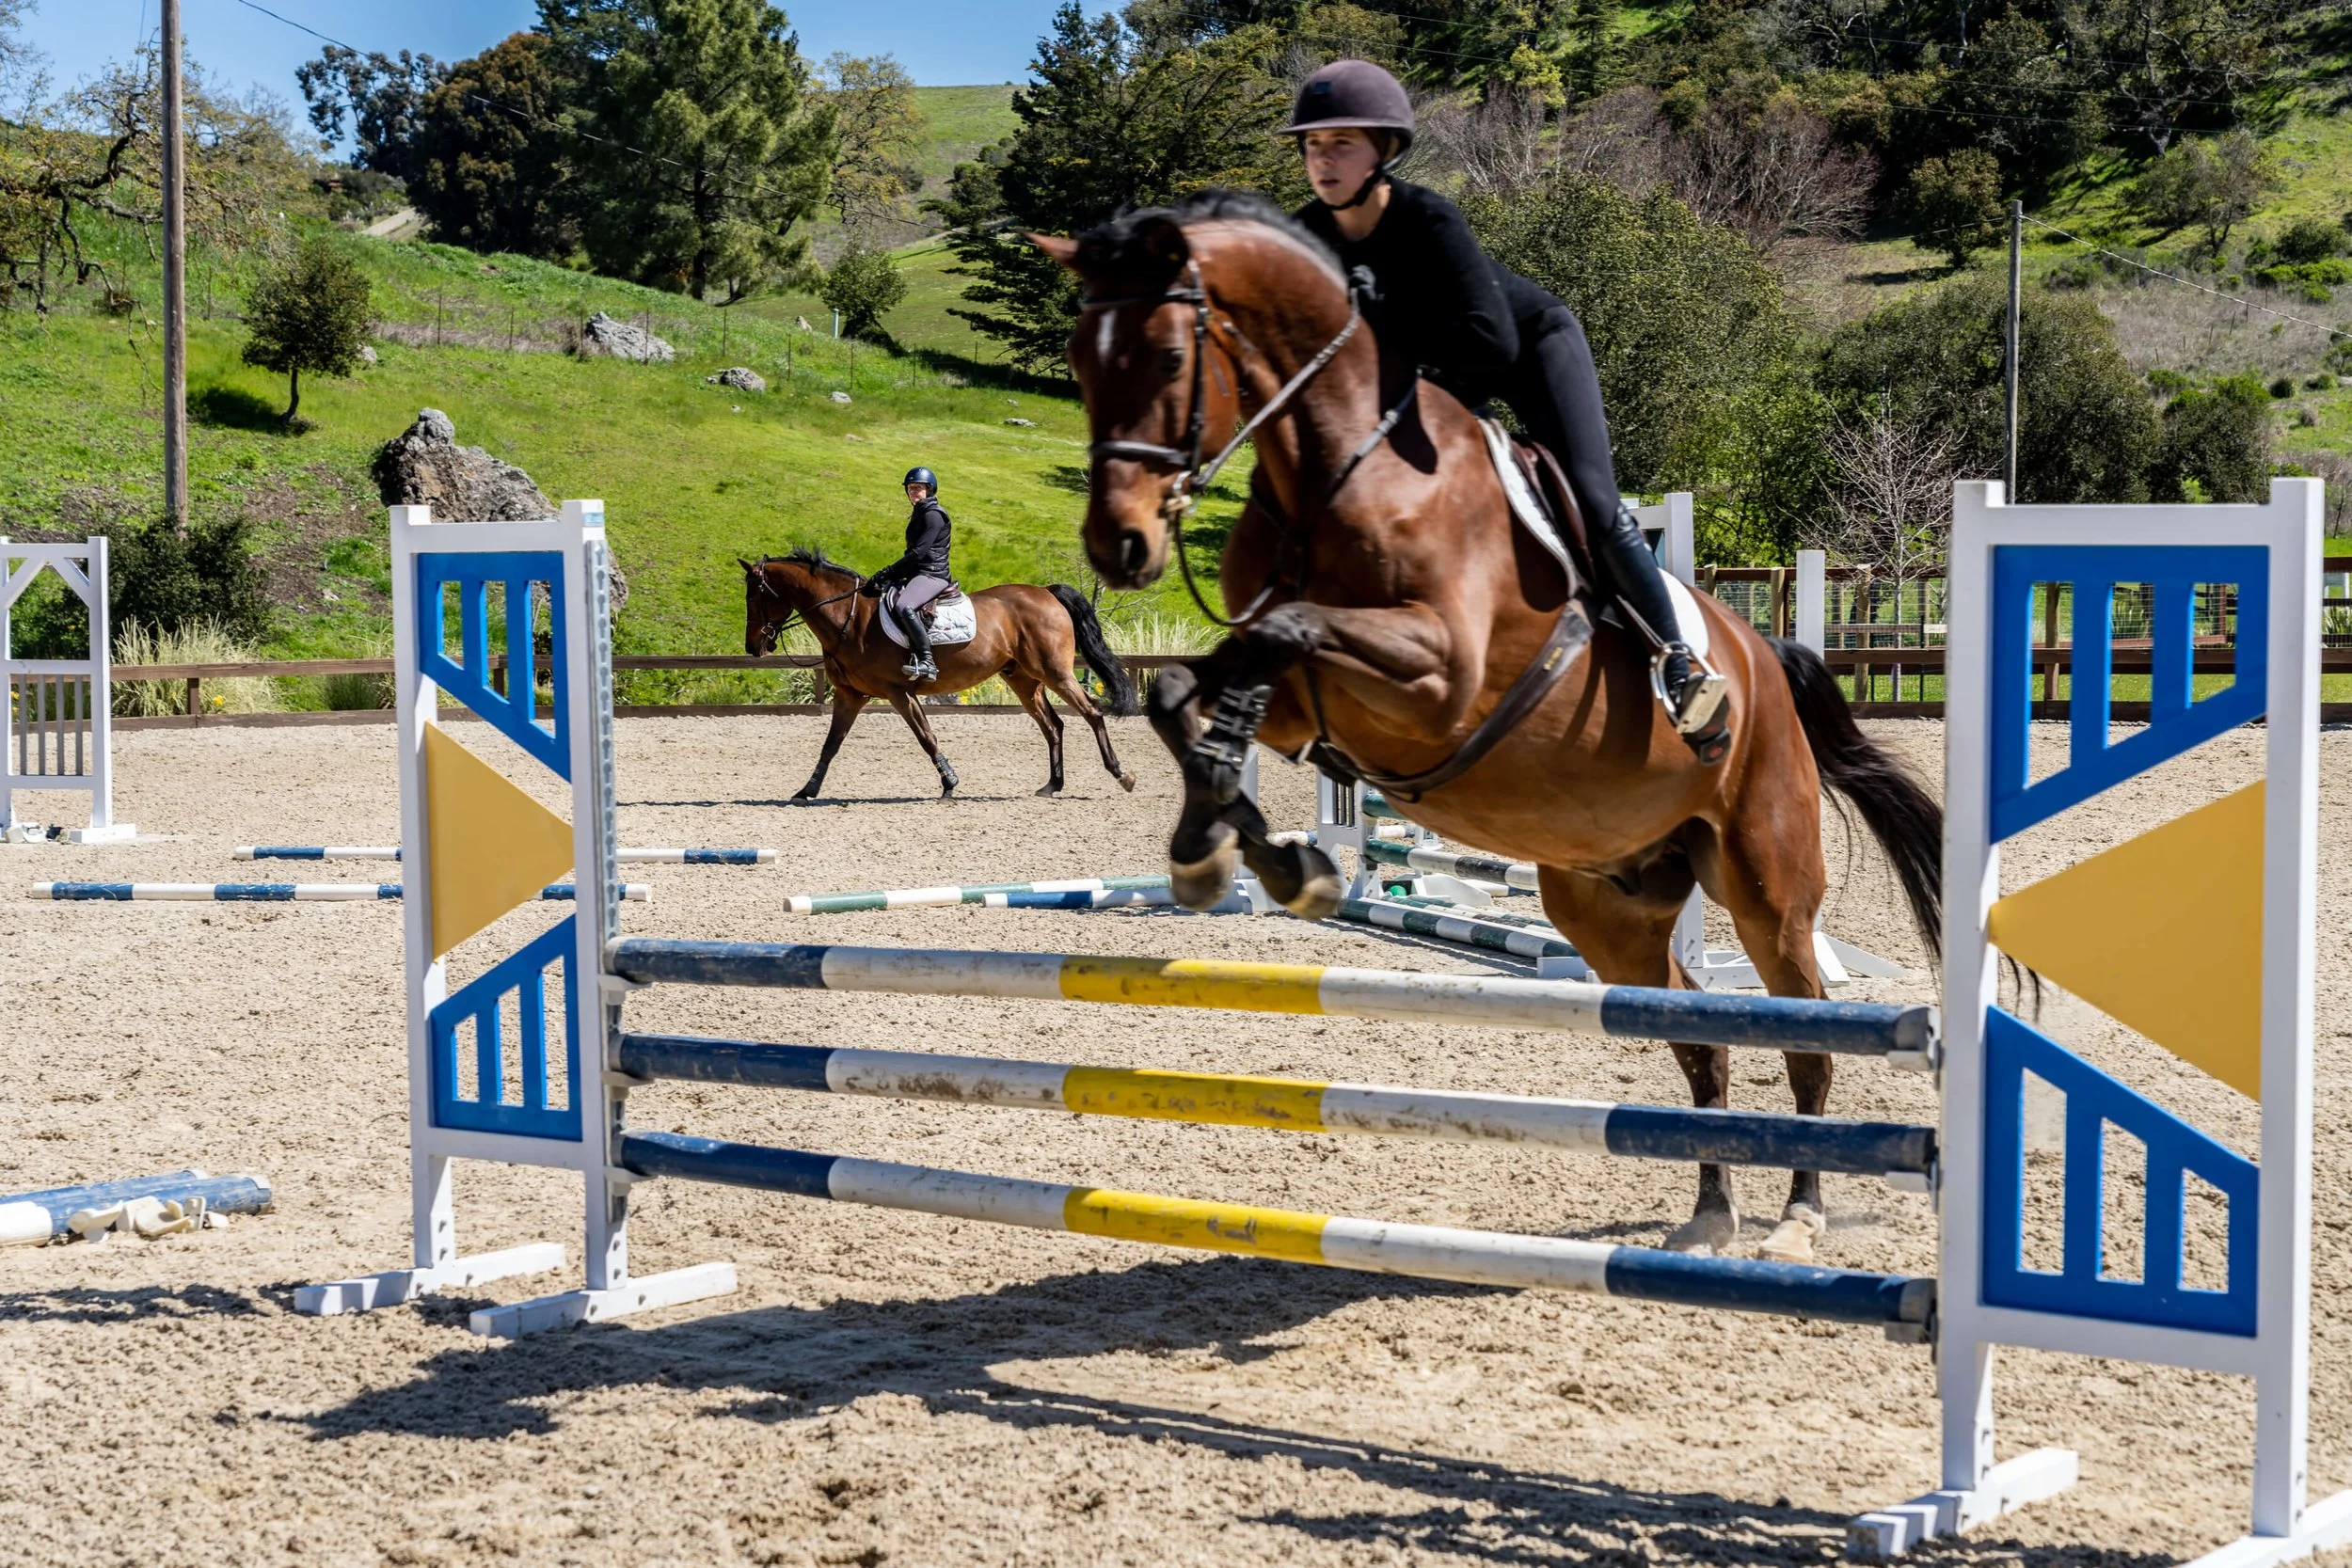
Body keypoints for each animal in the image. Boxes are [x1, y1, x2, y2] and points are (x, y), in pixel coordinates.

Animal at [740, 549, 1142, 800]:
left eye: (753, 596)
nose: (752, 647)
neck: (849, 618)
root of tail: (1046, 592)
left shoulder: (898, 692)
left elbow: (925, 736)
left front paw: (949, 783)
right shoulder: (850, 696)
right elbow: (831, 744)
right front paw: (806, 791)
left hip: (1055, 672)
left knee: (1091, 712)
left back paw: (1122, 774)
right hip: (1023, 679)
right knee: (1053, 726)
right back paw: (1052, 785)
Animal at [1036, 191, 1942, 1266]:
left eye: (1170, 356)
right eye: (1079, 361)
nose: (1119, 545)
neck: (1339, 465)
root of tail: (1760, 656)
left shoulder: (1438, 675)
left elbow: (1282, 630)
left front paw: (1255, 846)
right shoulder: (1304, 692)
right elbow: (1192, 684)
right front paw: (1248, 853)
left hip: (1765, 880)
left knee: (1804, 1029)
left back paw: (1799, 1216)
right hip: (1608, 905)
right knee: (1695, 1032)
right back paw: (1710, 1211)